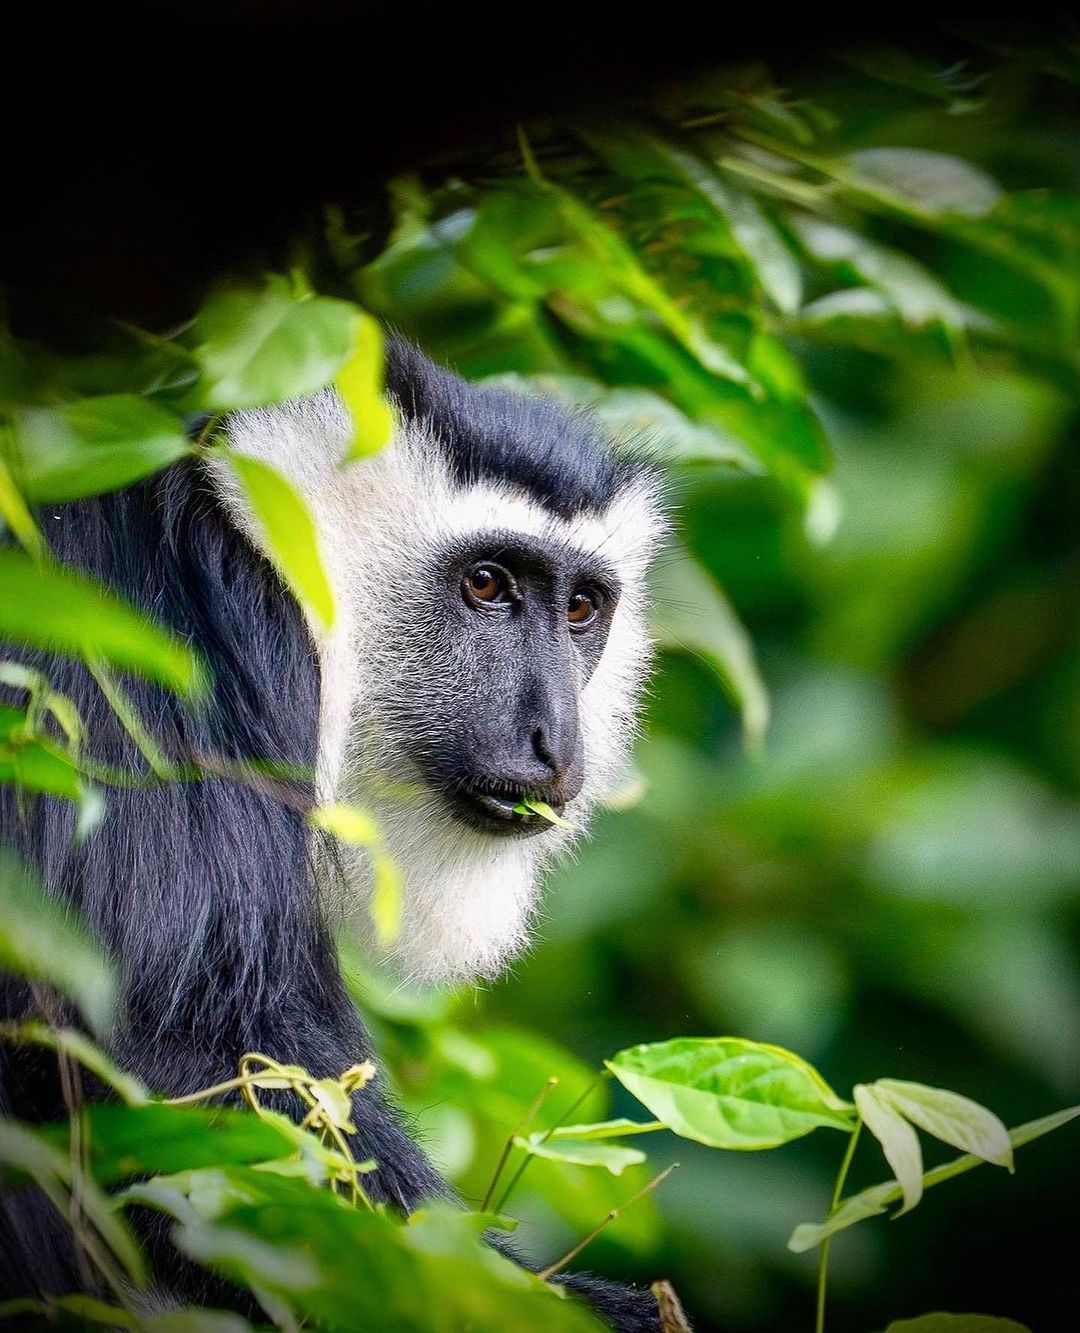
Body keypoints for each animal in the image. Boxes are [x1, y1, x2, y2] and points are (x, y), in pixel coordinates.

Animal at [0, 337, 666, 1330]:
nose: (553, 741)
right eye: (487, 584)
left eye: (581, 608)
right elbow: (175, 1049)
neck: (256, 536)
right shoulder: (167, 675)